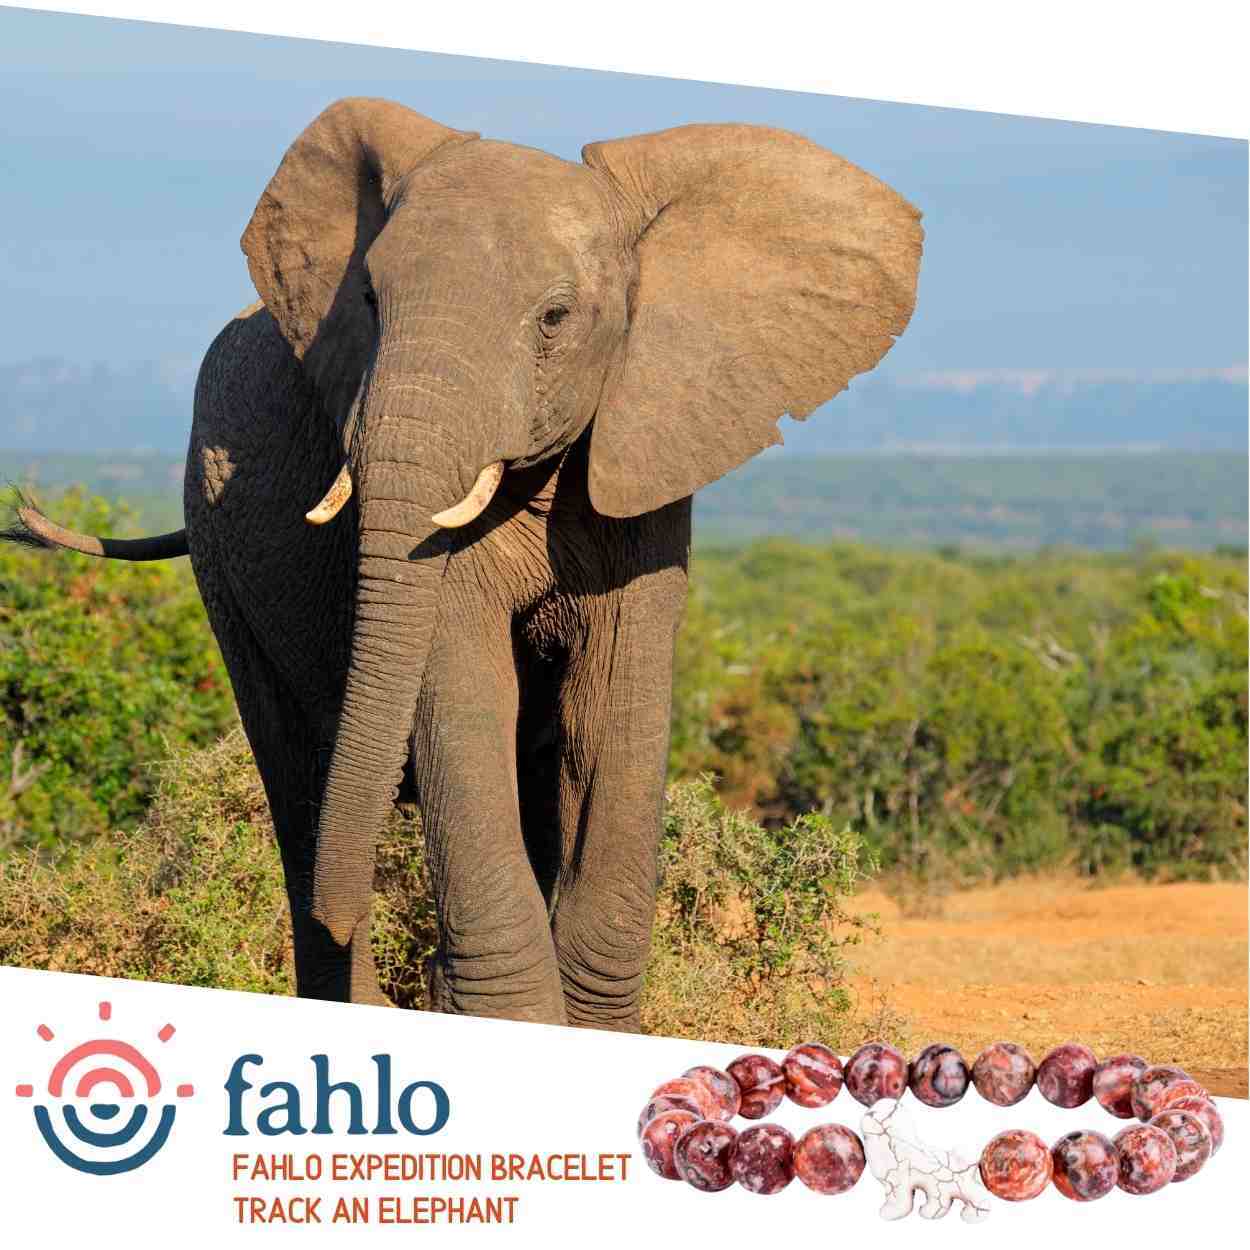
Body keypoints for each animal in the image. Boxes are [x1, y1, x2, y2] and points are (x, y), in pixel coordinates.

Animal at [7, 98, 922, 1029]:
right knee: (297, 777)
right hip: (219, 544)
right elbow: (463, 695)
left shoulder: (650, 460)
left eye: (556, 318)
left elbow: (611, 715)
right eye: (369, 300)